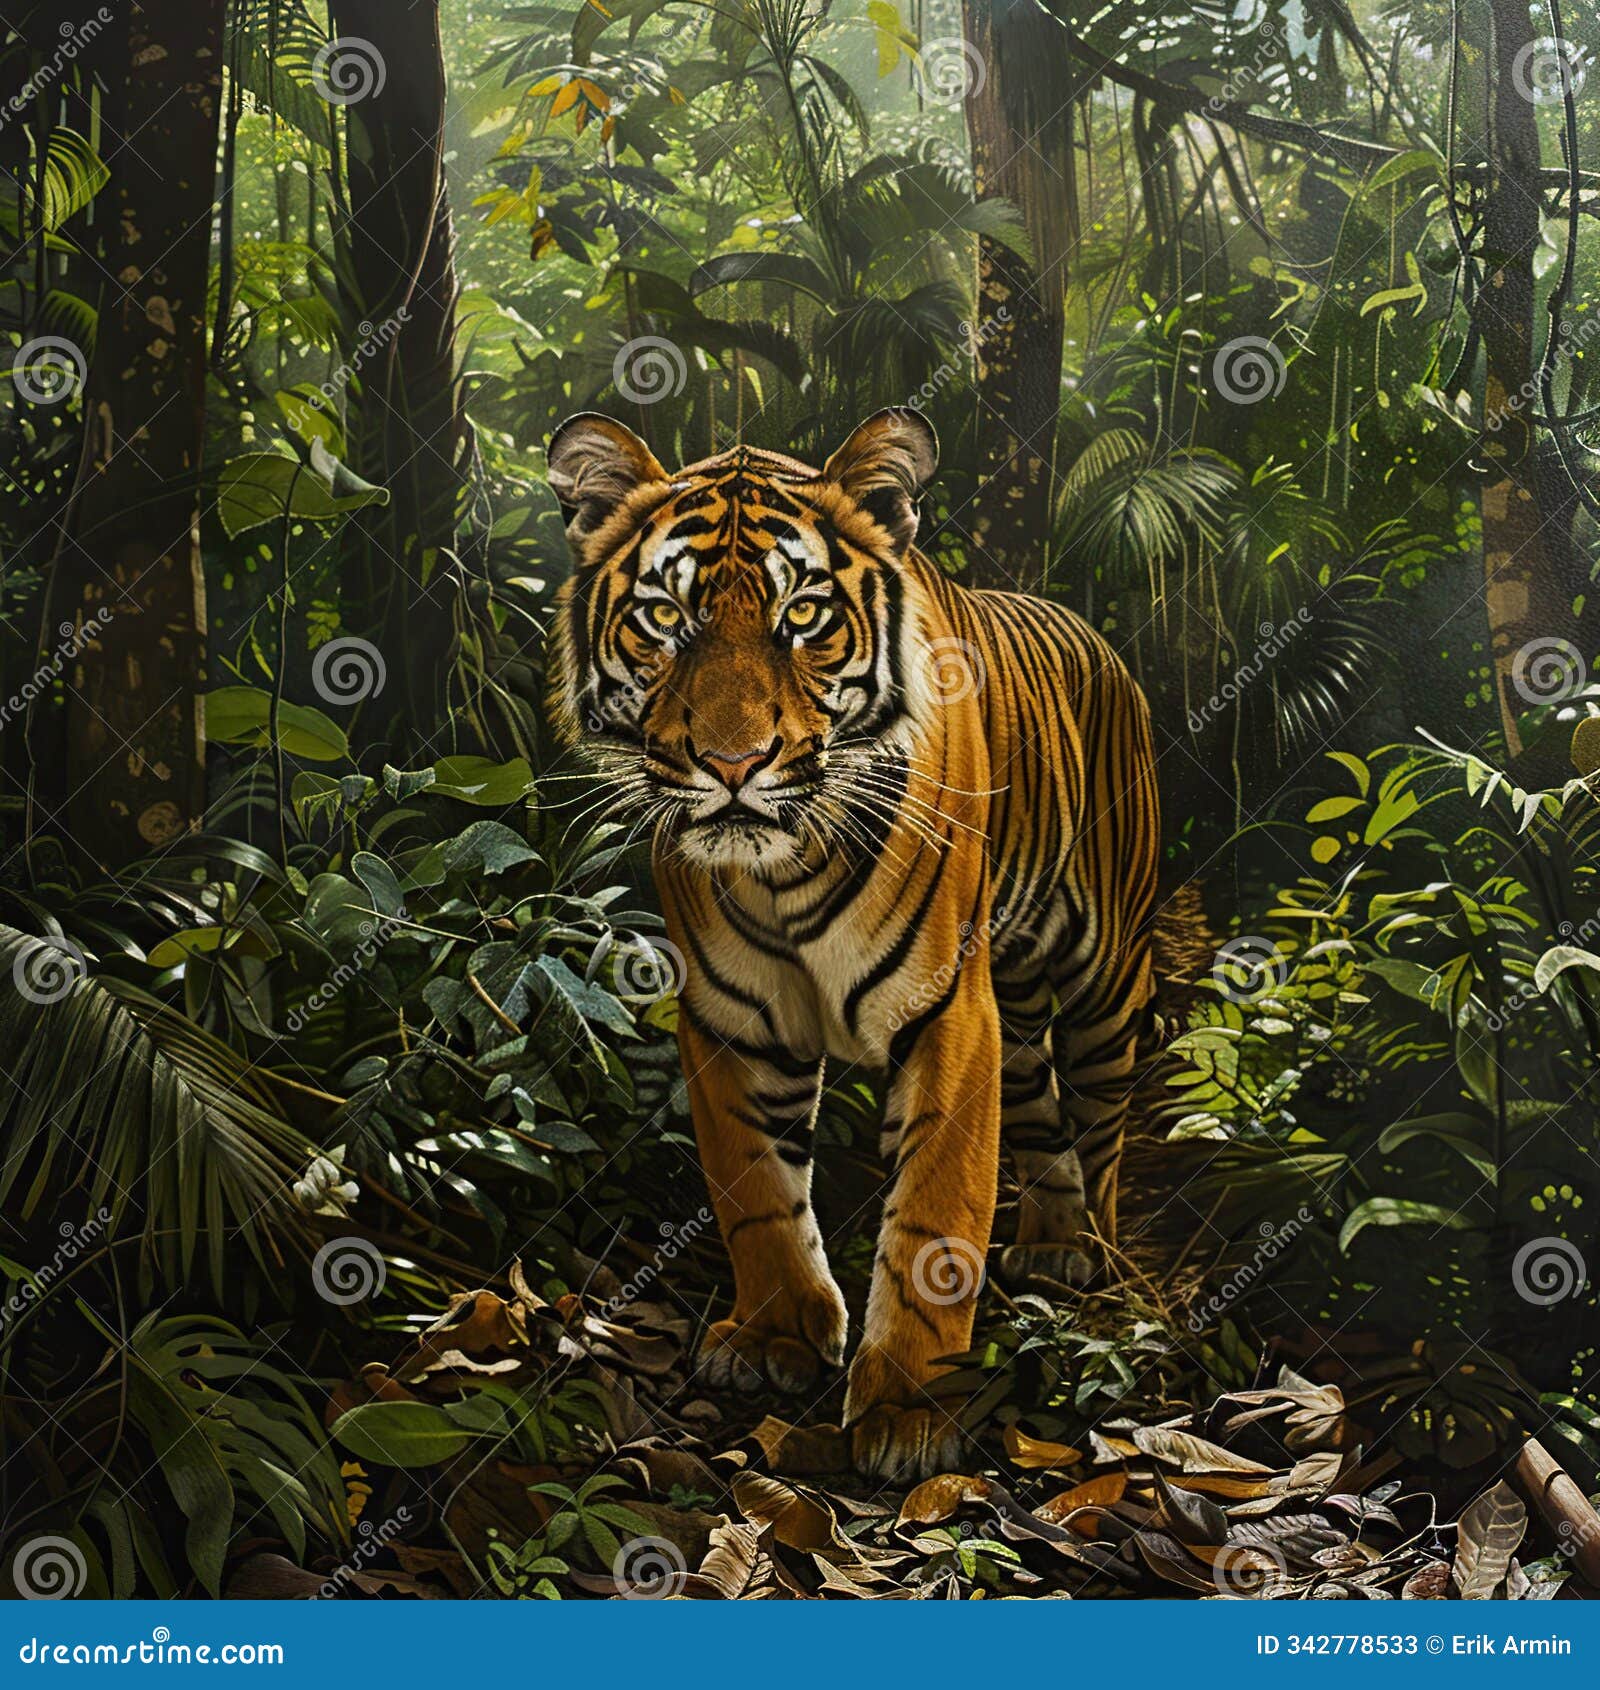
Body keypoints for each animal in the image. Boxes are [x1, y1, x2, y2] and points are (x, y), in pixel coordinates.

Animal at [547, 407, 1159, 1481]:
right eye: (666, 620)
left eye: (803, 616)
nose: (734, 762)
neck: (785, 873)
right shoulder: (732, 1020)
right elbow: (755, 1193)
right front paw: (777, 1335)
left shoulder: (948, 1012)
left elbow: (932, 1220)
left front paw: (908, 1411)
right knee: (1044, 1114)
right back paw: (1049, 1244)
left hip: (1104, 979)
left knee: (1105, 1124)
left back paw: (1102, 1271)